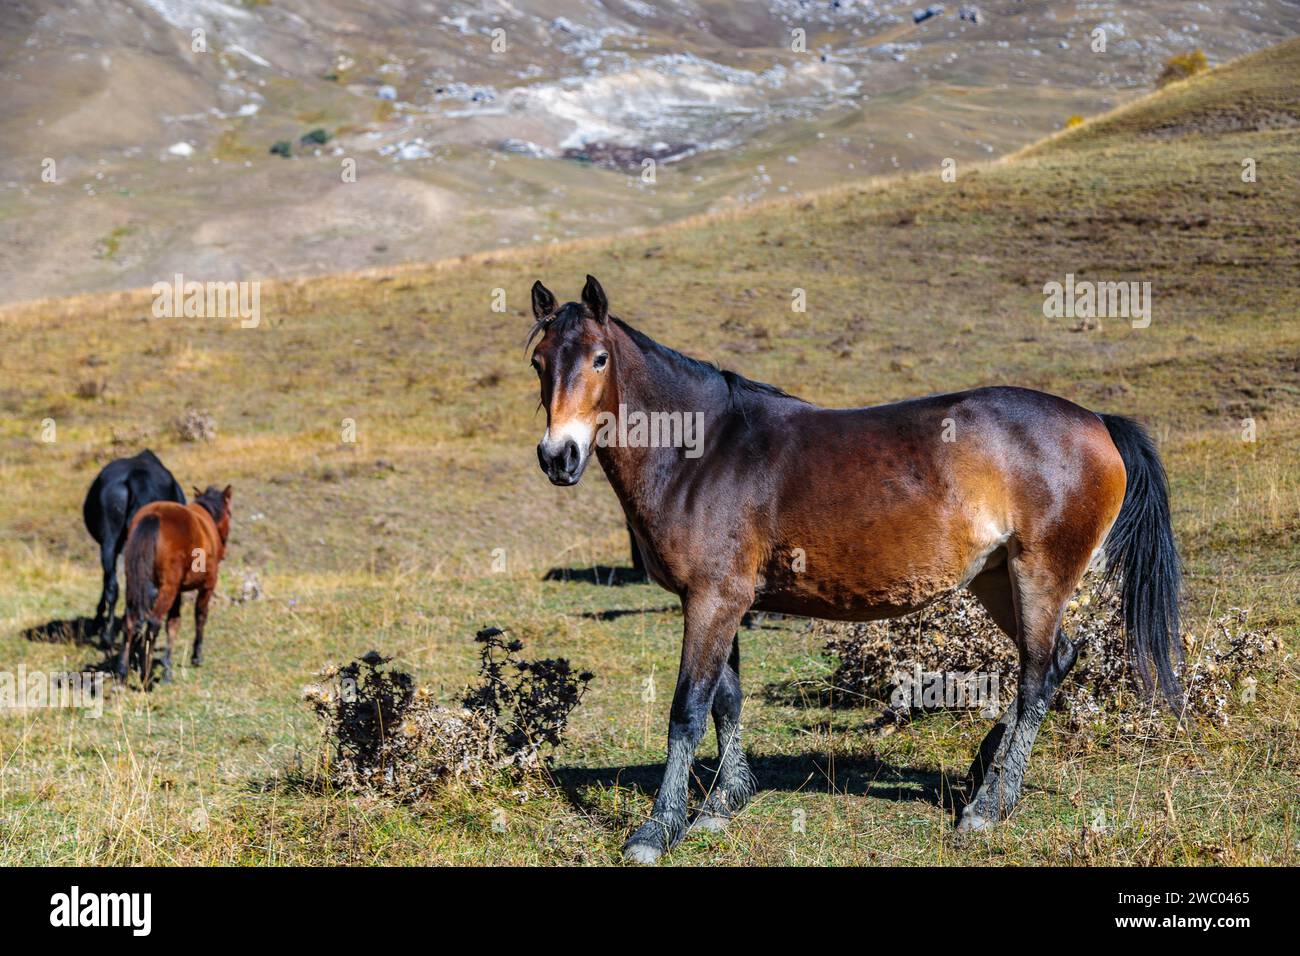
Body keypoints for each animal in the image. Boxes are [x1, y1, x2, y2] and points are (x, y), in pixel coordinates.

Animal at [121, 486, 232, 689]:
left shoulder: (178, 592)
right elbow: (200, 615)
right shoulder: (208, 585)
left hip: (134, 584)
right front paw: (196, 656)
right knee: (153, 624)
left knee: (130, 622)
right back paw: (146, 678)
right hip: (167, 589)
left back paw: (122, 675)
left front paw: (167, 670)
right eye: (229, 512)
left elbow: (173, 625)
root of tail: (154, 515)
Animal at [527, 276, 1181, 864]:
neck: (704, 451)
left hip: (1038, 575)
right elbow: (726, 700)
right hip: (997, 579)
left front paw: (656, 831)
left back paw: (989, 805)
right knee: (1057, 661)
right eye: (538, 361)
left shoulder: (713, 600)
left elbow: (688, 709)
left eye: (599, 359)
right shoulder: (722, 601)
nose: (558, 456)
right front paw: (721, 804)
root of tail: (1096, 421)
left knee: (1036, 674)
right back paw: (983, 772)